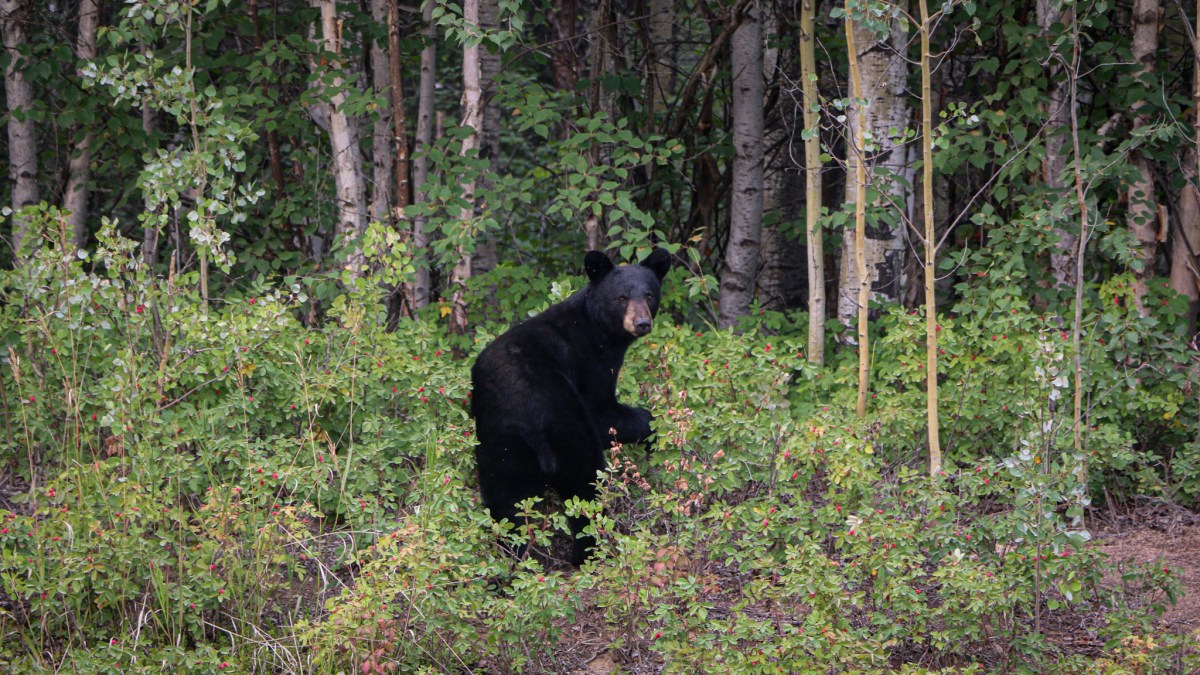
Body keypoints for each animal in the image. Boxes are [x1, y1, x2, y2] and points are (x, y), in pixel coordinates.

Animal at [470, 248, 671, 564]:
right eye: (622, 297)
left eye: (649, 295)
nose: (641, 323)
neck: (595, 327)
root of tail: (528, 416)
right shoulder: (591, 363)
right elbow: (604, 412)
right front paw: (651, 426)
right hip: (566, 423)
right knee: (585, 483)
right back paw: (588, 552)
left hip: (500, 444)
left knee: (505, 500)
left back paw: (510, 558)